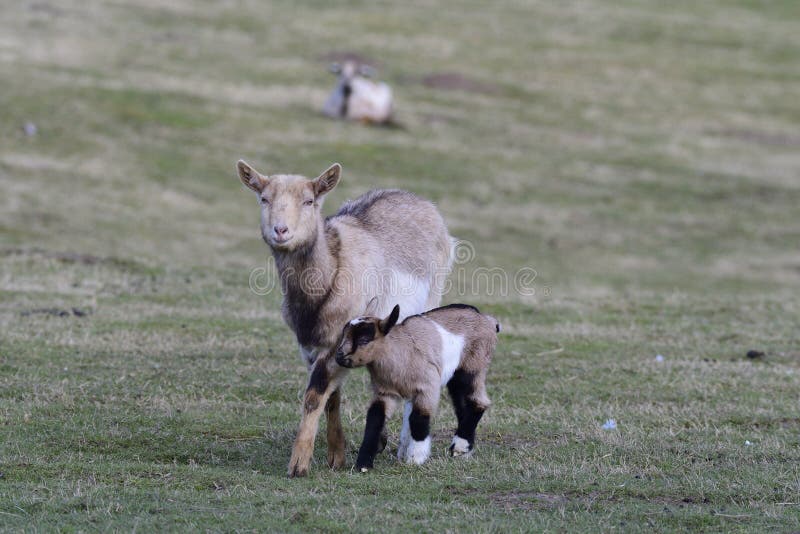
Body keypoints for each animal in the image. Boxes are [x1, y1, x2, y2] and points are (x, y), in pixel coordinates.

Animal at [236, 160, 454, 477]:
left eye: (309, 201)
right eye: (264, 198)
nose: (281, 230)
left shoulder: (337, 339)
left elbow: (315, 395)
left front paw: (299, 464)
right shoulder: (310, 347)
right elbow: (331, 396)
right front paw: (336, 455)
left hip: (431, 296)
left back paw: (407, 449)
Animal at [334, 303, 500, 471]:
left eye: (364, 339)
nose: (339, 356)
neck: (400, 353)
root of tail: (488, 320)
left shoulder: (428, 387)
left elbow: (418, 418)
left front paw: (416, 458)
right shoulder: (385, 392)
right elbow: (374, 418)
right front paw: (363, 464)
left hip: (472, 367)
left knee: (478, 402)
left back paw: (459, 446)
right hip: (457, 379)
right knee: (462, 407)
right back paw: (463, 451)